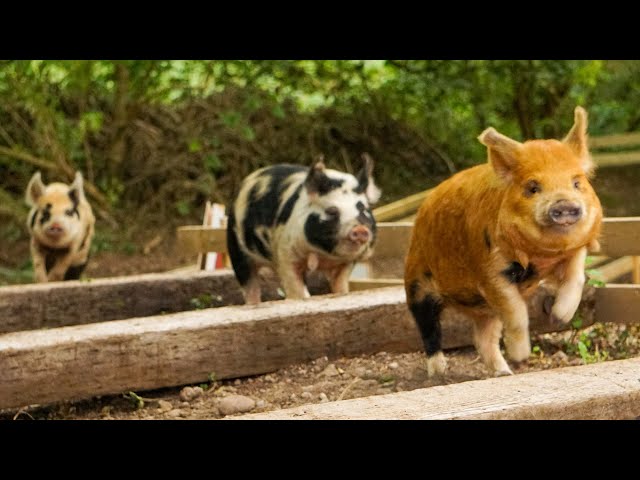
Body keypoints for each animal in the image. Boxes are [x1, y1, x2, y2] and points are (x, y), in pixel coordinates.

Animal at [227, 154, 381, 304]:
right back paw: (254, 303)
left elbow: (340, 284)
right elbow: (294, 283)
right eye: (332, 211)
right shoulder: (286, 253)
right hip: (237, 250)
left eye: (363, 209)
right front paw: (300, 298)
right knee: (249, 285)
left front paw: (342, 293)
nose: (360, 229)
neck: (324, 255)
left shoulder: (345, 263)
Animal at [404, 106, 602, 377]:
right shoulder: (490, 272)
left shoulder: (575, 250)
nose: (564, 204)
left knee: (482, 338)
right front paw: (522, 356)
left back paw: (504, 372)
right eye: (532, 188)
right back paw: (439, 372)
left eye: (576, 183)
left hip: (485, 310)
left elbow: (577, 277)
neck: (542, 256)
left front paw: (559, 318)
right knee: (428, 328)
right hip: (417, 283)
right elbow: (517, 313)